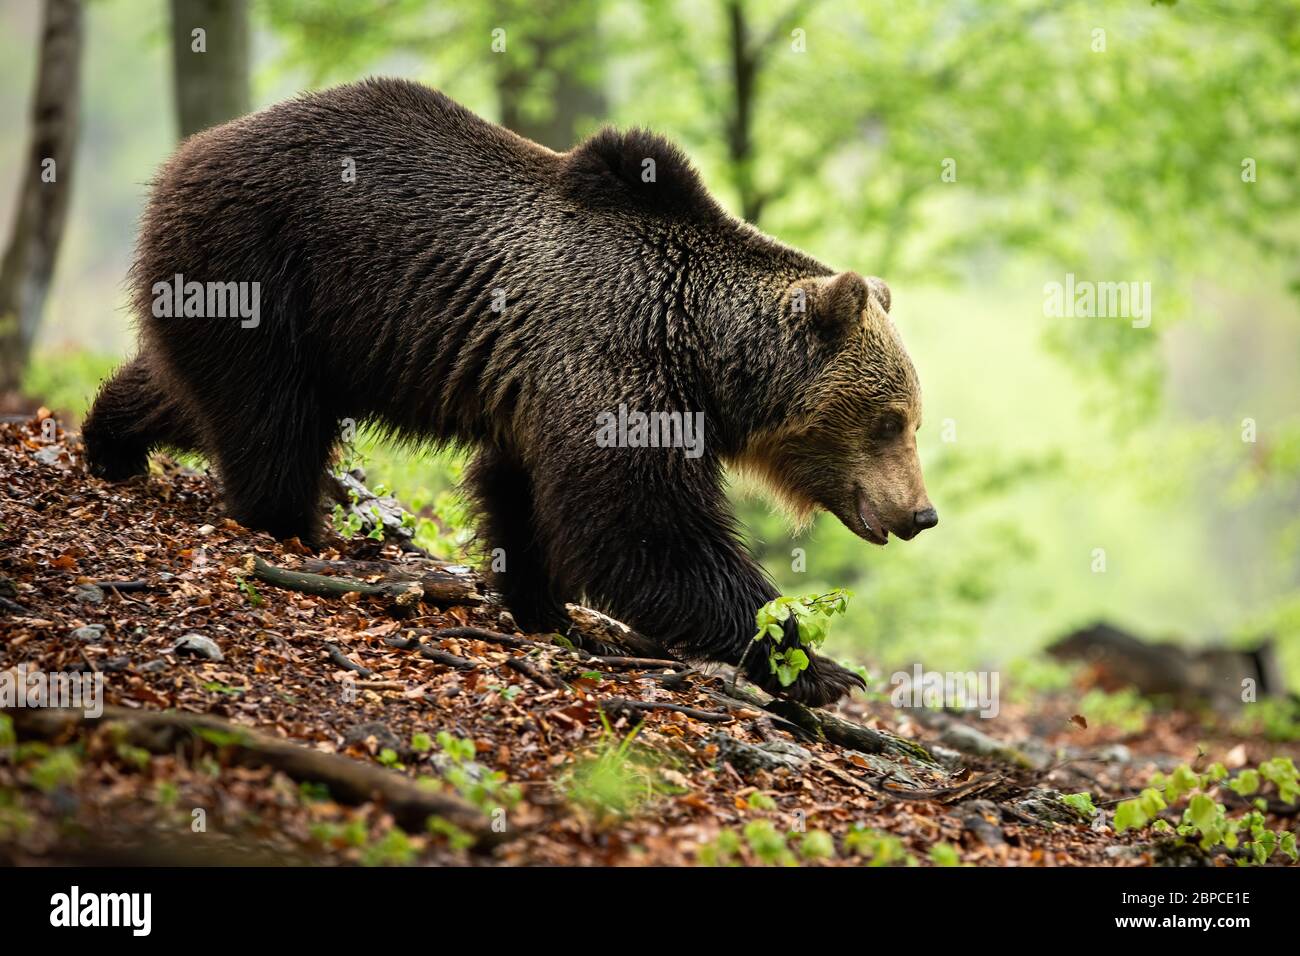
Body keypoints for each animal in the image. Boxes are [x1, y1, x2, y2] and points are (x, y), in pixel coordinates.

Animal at [81, 78, 937, 707]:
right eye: (892, 419)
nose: (921, 513)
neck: (700, 351)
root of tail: (187, 152)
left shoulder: (546, 388)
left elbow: (526, 496)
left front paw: (545, 608)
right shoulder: (611, 358)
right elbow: (645, 528)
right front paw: (821, 667)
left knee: (197, 390)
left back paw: (111, 441)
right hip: (266, 267)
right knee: (272, 419)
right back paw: (296, 523)